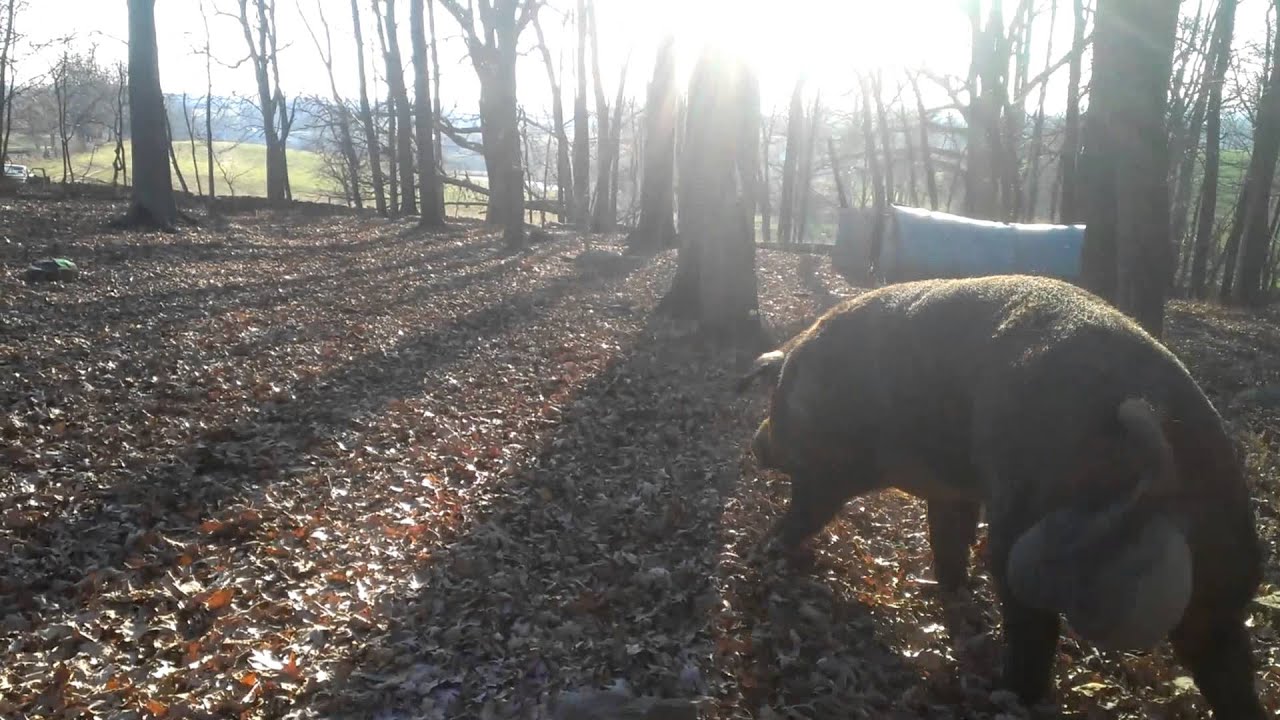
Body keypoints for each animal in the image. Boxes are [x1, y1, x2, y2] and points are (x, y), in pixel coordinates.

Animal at [738, 275, 1265, 717]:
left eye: (773, 404)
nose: (757, 443)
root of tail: (1164, 457)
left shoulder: (832, 467)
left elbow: (806, 513)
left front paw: (761, 552)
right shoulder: (953, 491)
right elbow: (947, 539)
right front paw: (944, 591)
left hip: (1024, 511)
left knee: (1030, 623)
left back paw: (1001, 690)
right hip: (1224, 566)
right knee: (1225, 659)